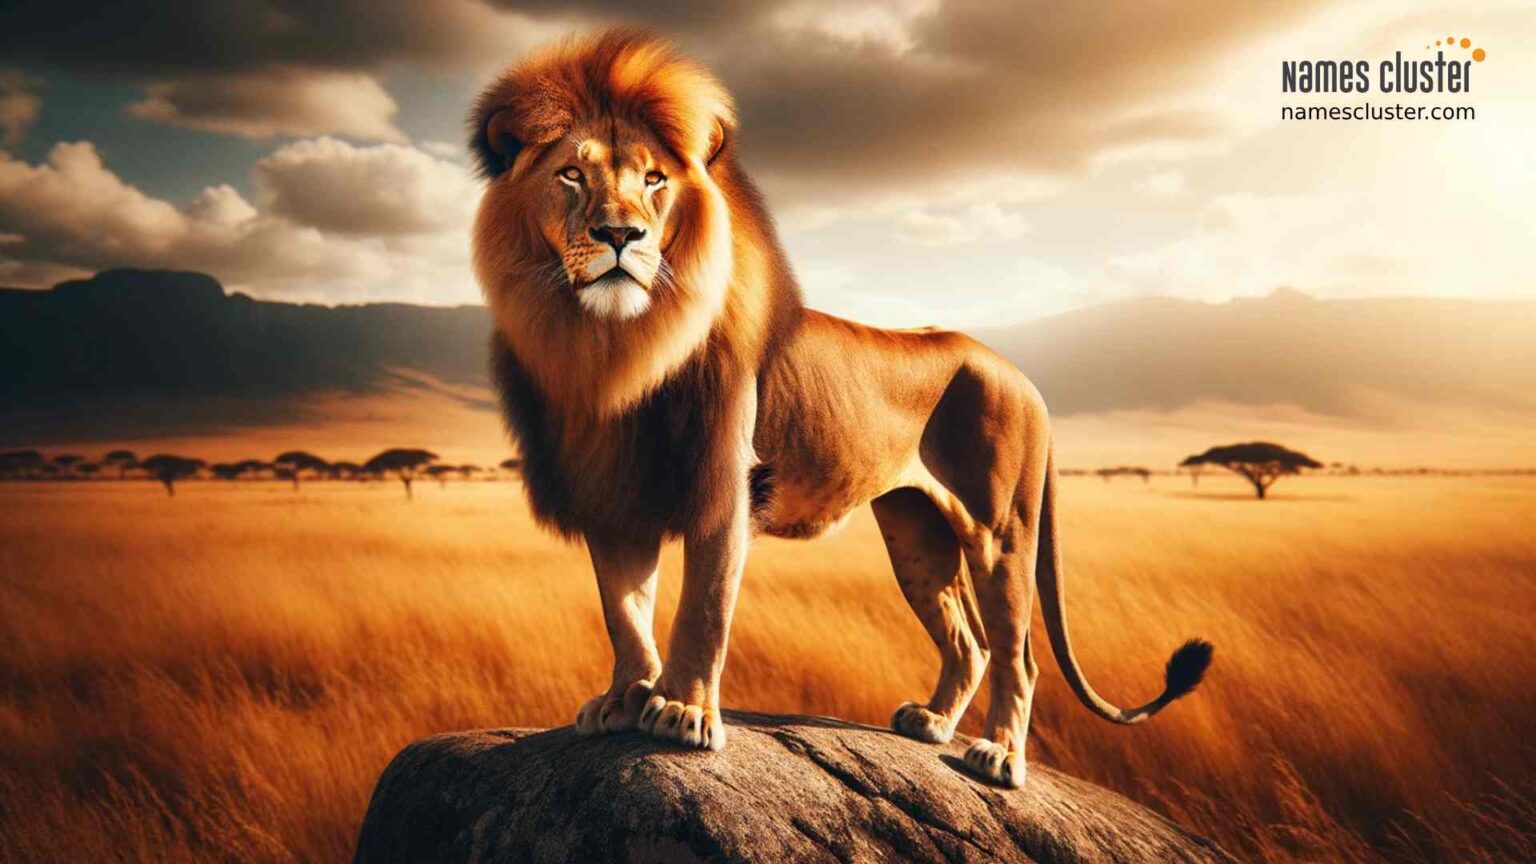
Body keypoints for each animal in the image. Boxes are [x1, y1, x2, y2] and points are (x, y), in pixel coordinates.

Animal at [469, 29, 1212, 788]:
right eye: (571, 175)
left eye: (654, 180)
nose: (622, 235)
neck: (615, 347)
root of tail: (1022, 376)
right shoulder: (615, 494)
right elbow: (625, 613)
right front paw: (624, 699)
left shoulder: (726, 485)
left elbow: (701, 607)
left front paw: (681, 713)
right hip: (917, 536)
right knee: (970, 641)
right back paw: (932, 722)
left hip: (1000, 529)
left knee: (1019, 655)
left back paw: (1000, 757)